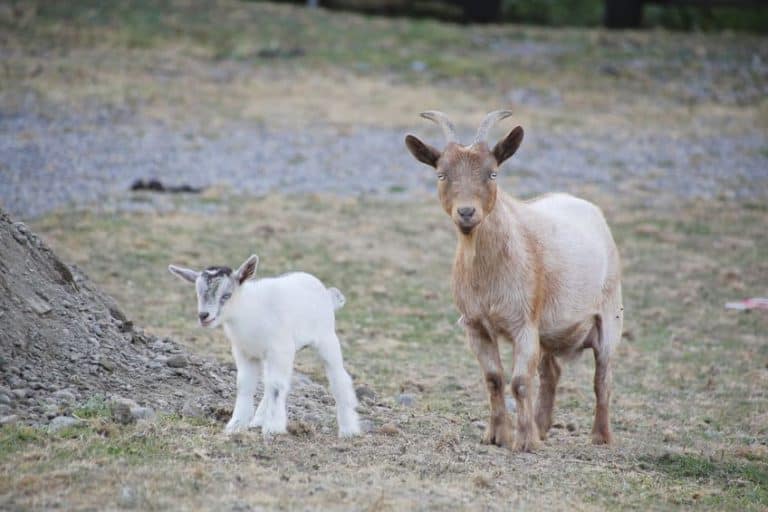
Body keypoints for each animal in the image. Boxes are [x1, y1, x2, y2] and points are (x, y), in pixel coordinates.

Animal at [168, 255, 361, 438]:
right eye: (198, 293)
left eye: (226, 295)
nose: (204, 316)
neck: (248, 311)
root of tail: (327, 294)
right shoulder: (244, 352)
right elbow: (245, 385)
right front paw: (236, 425)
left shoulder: (280, 349)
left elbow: (276, 385)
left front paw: (273, 428)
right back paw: (259, 419)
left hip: (326, 338)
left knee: (338, 378)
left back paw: (349, 429)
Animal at [405, 111, 623, 451]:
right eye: (441, 174)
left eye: (492, 173)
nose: (466, 212)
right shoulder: (475, 325)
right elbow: (494, 379)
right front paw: (497, 436)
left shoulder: (524, 322)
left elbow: (520, 382)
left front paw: (525, 442)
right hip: (549, 330)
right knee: (551, 371)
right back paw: (542, 426)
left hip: (610, 314)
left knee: (603, 376)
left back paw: (600, 436)